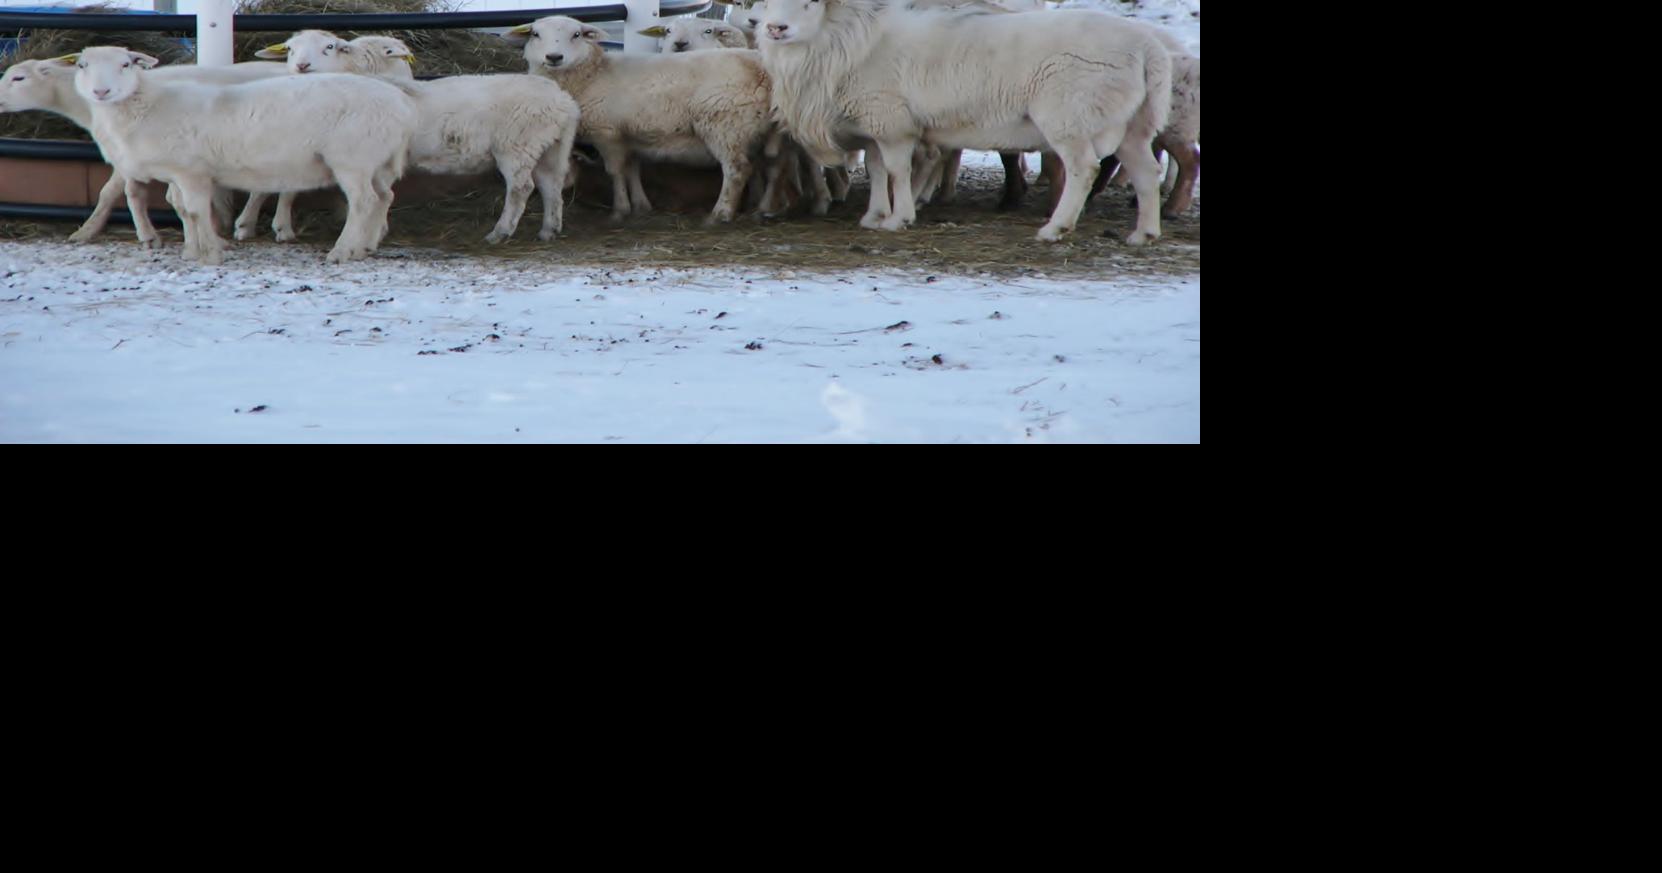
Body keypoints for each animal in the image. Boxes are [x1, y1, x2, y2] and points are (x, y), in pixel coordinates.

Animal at [72, 46, 417, 264]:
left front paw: (210, 254)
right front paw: (192, 251)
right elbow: (183, 210)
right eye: (82, 65)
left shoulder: (191, 171)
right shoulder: (180, 173)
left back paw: (342, 252)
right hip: (376, 161)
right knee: (383, 197)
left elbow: (195, 210)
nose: (101, 92)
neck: (151, 105)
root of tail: (401, 104)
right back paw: (362, 248)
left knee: (363, 202)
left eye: (125, 64)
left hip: (352, 159)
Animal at [260, 33, 579, 244]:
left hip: (516, 145)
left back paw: (499, 233)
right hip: (549, 146)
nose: (301, 67)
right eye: (289, 49)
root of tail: (563, 102)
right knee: (551, 185)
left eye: (330, 47)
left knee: (521, 188)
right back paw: (549, 230)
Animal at [509, 16, 774, 225]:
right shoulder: (629, 135)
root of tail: (761, 67)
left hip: (725, 125)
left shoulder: (606, 133)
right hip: (753, 130)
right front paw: (640, 205)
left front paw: (619, 211)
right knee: (760, 165)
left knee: (737, 170)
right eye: (535, 34)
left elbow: (615, 172)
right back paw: (754, 206)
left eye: (576, 34)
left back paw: (719, 215)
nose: (554, 57)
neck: (592, 74)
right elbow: (632, 169)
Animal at [758, 0, 1170, 243]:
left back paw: (1056, 228)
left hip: (1070, 114)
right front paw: (875, 215)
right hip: (1132, 123)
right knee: (1146, 171)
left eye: (810, 4)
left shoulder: (891, 119)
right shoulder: (876, 124)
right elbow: (877, 171)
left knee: (1084, 168)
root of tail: (1148, 46)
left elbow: (896, 171)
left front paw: (898, 218)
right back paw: (1145, 234)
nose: (775, 29)